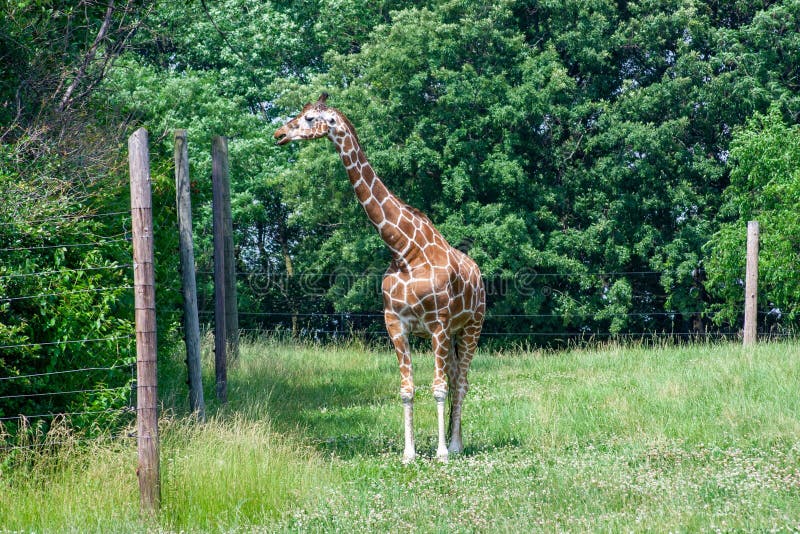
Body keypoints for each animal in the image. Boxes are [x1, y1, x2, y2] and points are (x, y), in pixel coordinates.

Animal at [274, 93, 485, 463]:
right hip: (454, 334)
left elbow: (439, 388)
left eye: (310, 117)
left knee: (460, 382)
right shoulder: (396, 324)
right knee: (456, 375)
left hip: (471, 326)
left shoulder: (438, 324)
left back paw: (457, 445)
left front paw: (441, 454)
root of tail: (478, 273)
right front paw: (409, 453)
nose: (279, 134)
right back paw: (451, 440)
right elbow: (406, 390)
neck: (404, 249)